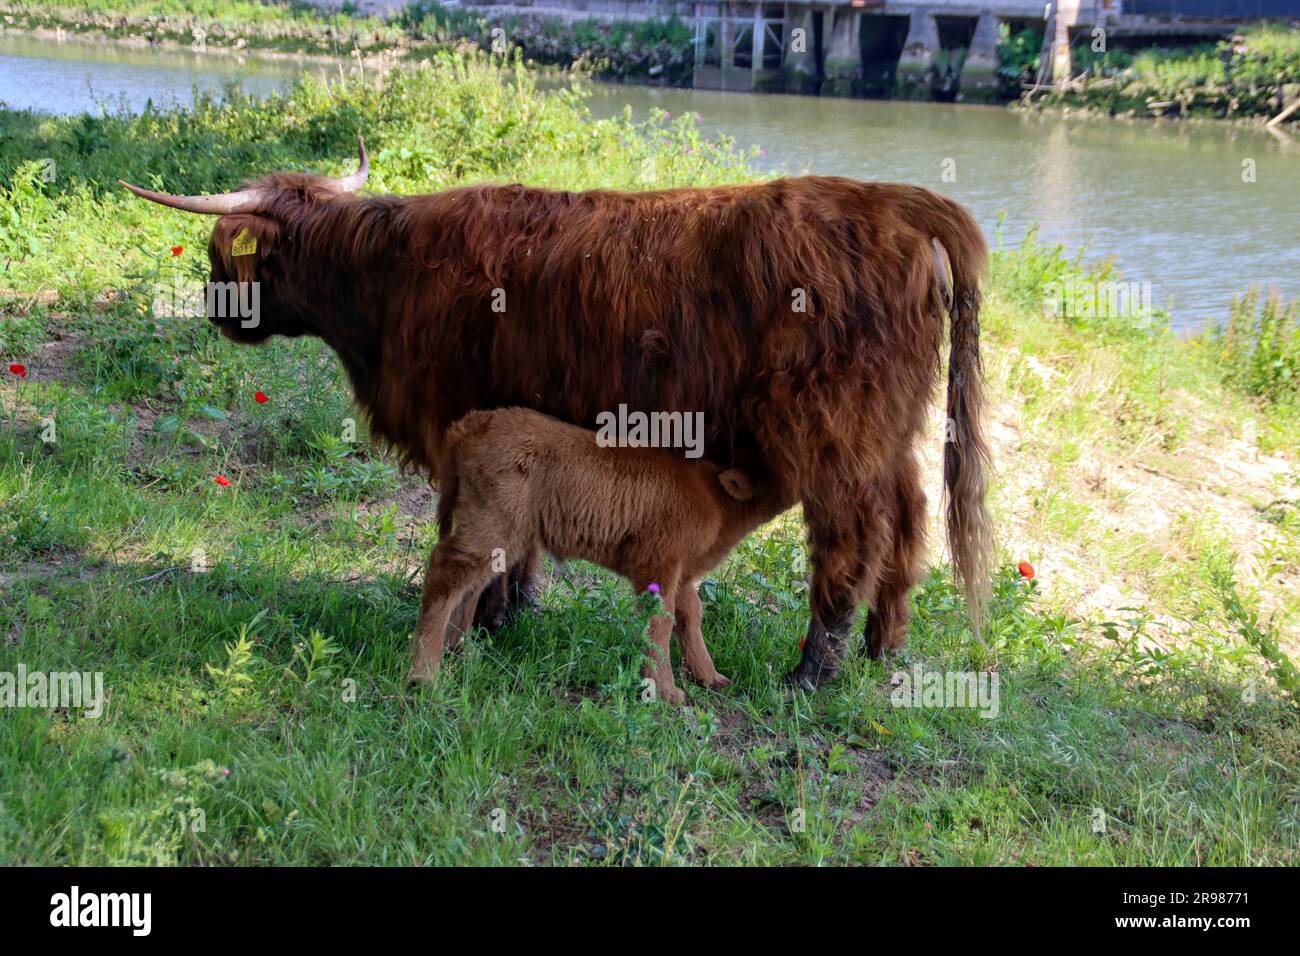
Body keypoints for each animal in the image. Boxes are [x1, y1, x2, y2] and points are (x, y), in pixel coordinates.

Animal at [120, 137, 992, 691]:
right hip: (891, 432)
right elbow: (518, 542)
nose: (217, 315)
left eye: (224, 258)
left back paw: (814, 670)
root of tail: (898, 204)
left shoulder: (454, 422)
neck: (382, 283)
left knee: (851, 539)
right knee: (909, 520)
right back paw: (884, 646)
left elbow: (482, 546)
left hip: (832, 431)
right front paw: (514, 618)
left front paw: (489, 621)